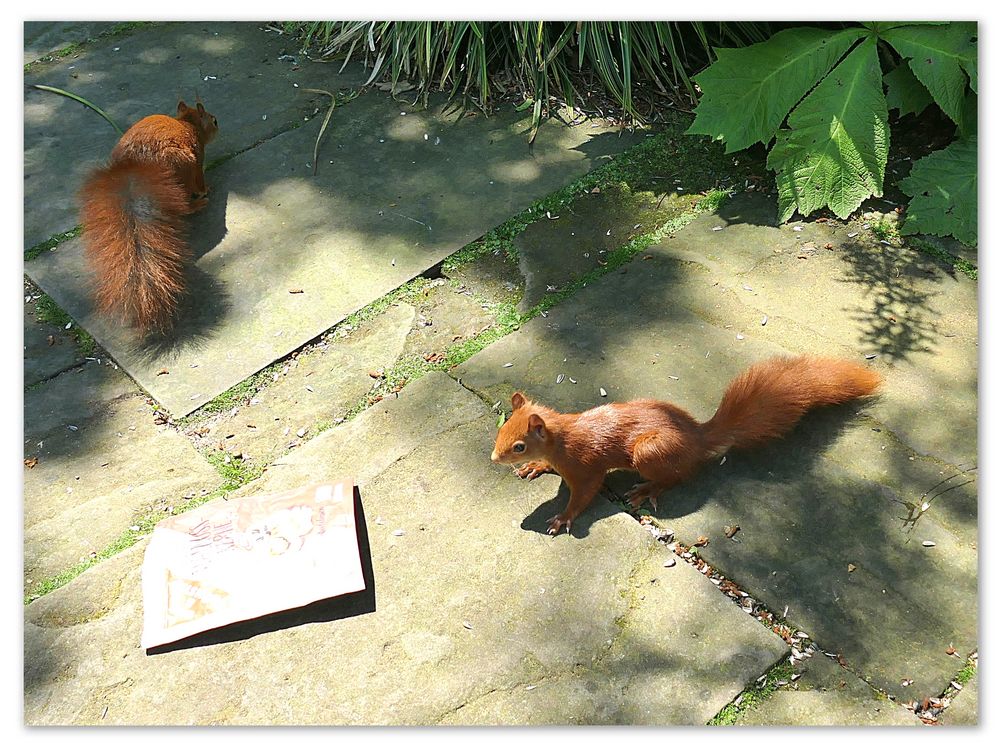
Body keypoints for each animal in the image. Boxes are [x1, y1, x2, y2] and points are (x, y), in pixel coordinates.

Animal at [78, 99, 219, 333]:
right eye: (214, 120)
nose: (219, 126)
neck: (187, 124)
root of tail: (137, 166)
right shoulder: (198, 157)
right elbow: (200, 180)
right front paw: (206, 189)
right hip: (182, 169)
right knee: (185, 203)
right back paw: (198, 203)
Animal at [491, 355, 882, 536]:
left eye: (519, 445)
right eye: (502, 429)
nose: (495, 457)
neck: (562, 438)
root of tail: (697, 437)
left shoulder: (585, 467)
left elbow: (584, 493)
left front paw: (563, 518)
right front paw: (537, 467)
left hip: (650, 452)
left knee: (680, 477)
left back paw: (647, 489)